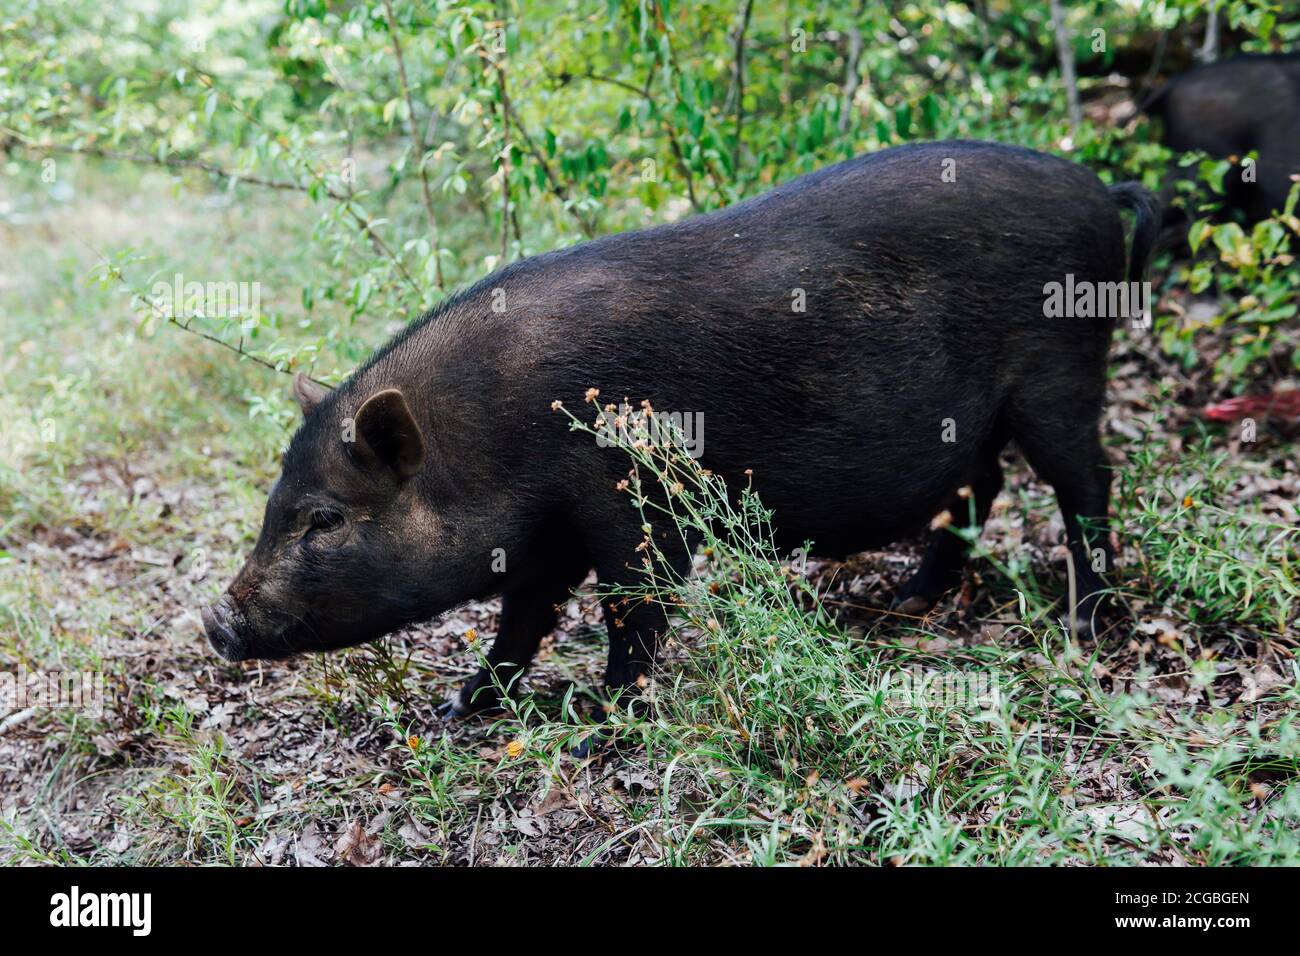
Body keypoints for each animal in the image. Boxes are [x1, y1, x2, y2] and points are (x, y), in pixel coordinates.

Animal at [203, 140, 1157, 722]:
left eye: (322, 518)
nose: (216, 620)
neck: (481, 441)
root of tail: (1100, 192)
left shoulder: (628, 502)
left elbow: (635, 605)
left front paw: (606, 720)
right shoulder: (545, 535)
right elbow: (521, 619)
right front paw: (458, 709)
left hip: (1061, 371)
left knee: (1087, 482)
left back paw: (1085, 626)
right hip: (981, 419)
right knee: (980, 486)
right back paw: (903, 602)